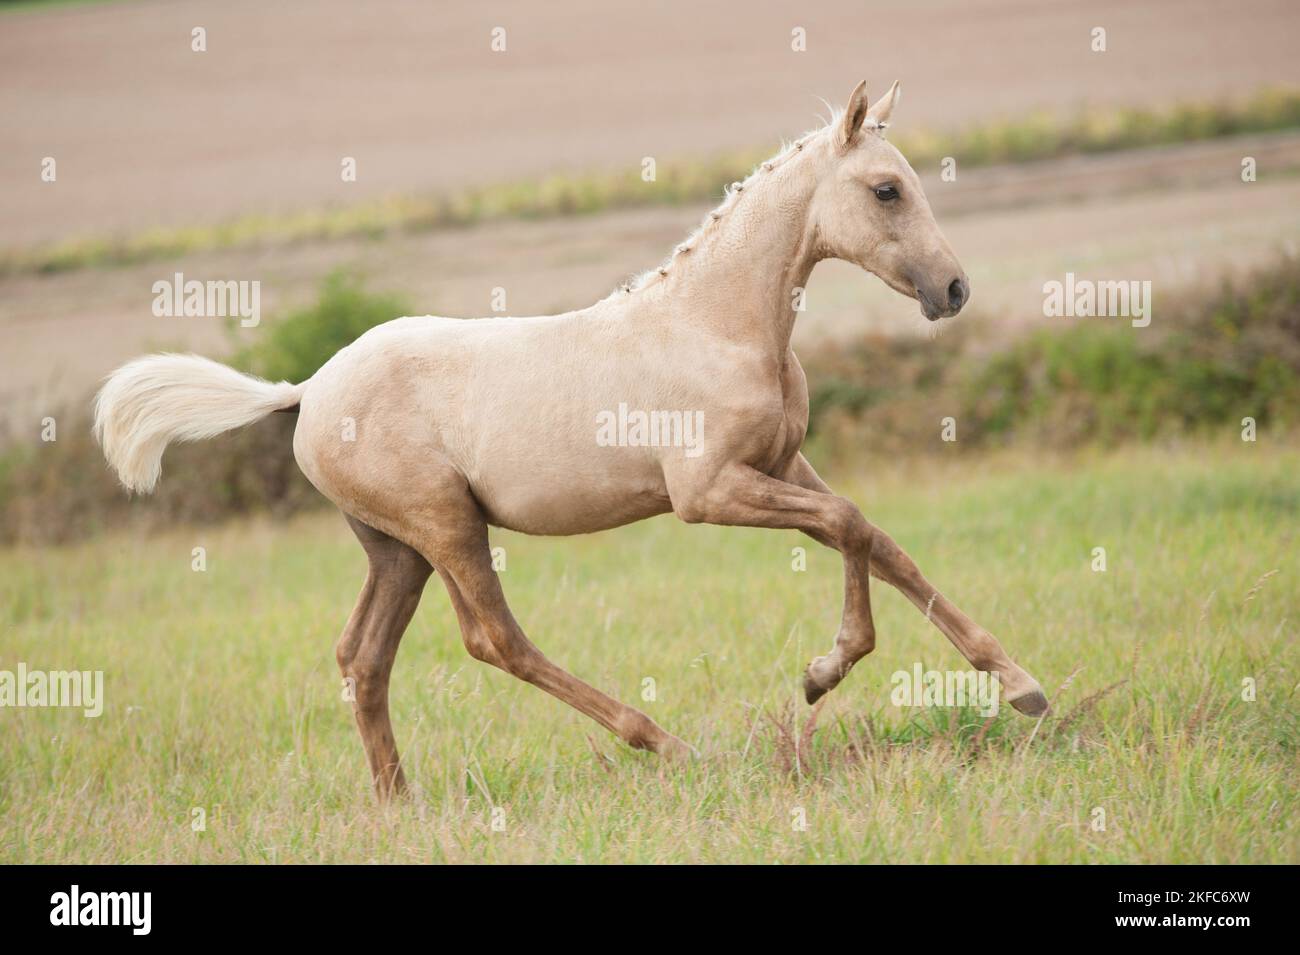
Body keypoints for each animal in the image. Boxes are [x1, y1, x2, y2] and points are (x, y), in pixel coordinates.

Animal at [94, 80, 1048, 800]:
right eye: (887, 190)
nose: (953, 290)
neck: (718, 322)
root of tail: (307, 391)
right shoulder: (708, 492)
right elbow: (849, 524)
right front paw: (825, 670)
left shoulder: (782, 463)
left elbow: (877, 539)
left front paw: (1018, 683)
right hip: (446, 525)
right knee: (494, 640)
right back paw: (665, 743)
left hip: (395, 548)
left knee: (362, 658)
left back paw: (399, 800)